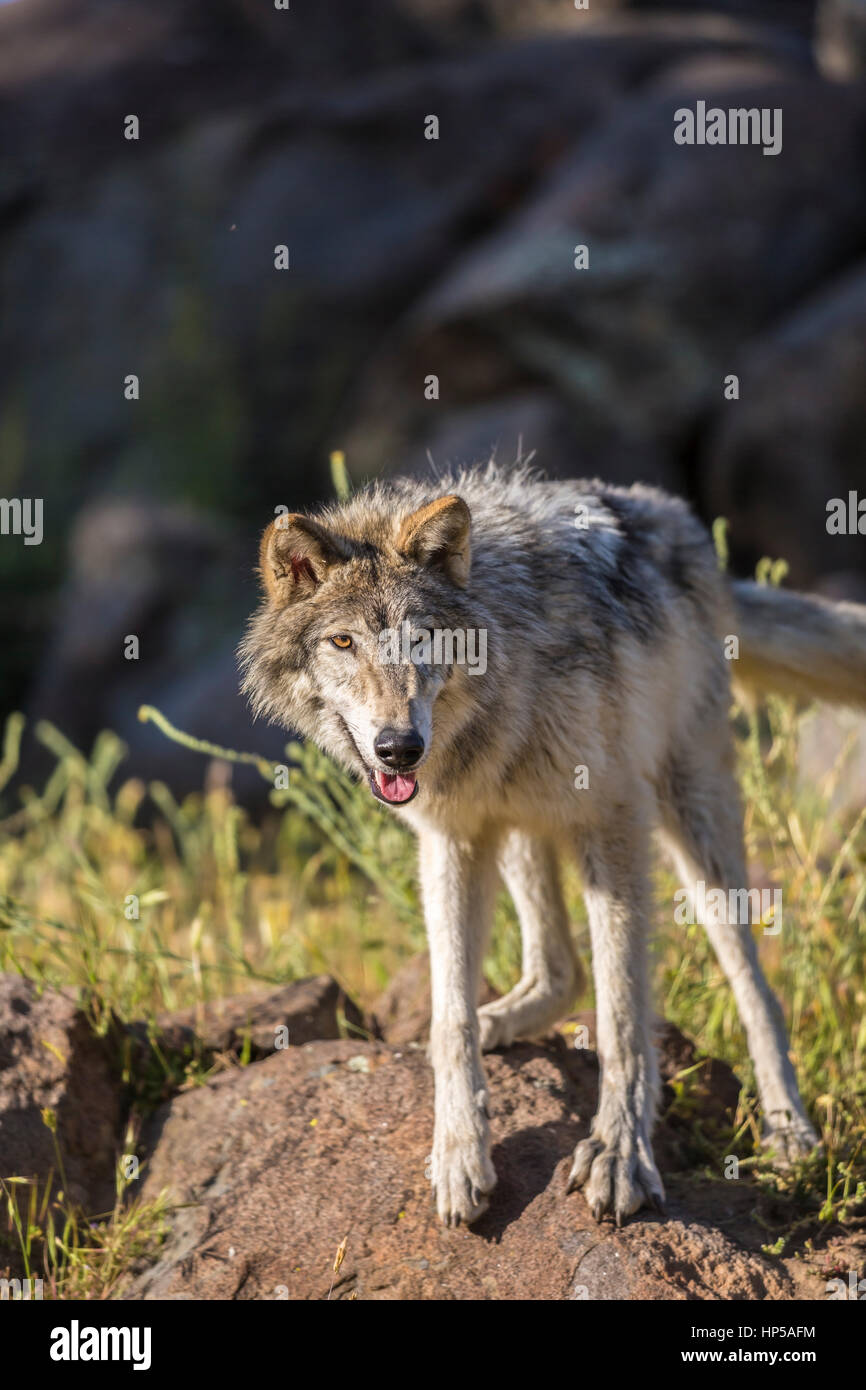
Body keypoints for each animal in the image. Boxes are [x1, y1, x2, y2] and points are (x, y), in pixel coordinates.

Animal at [240, 463, 866, 1227]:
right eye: (342, 643)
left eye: (424, 640)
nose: (399, 748)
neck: (506, 675)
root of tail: (677, 517)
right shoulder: (453, 838)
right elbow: (449, 1017)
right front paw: (459, 1152)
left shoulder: (614, 818)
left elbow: (623, 1013)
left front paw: (620, 1156)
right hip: (519, 827)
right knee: (557, 971)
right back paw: (502, 1022)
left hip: (692, 825)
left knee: (754, 985)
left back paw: (788, 1130)